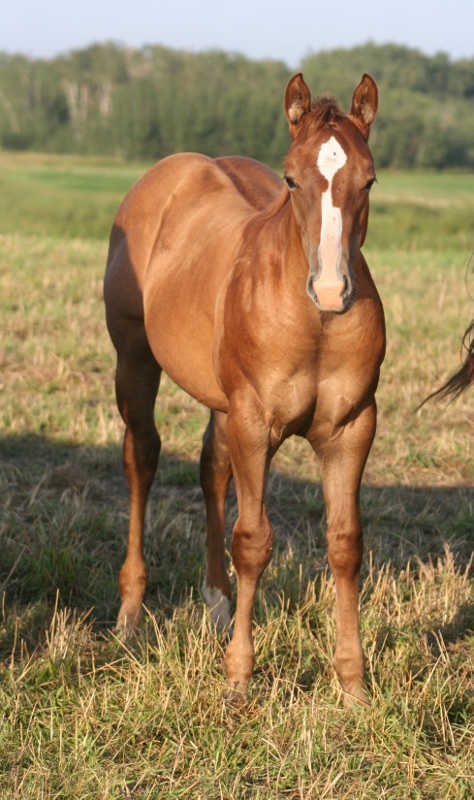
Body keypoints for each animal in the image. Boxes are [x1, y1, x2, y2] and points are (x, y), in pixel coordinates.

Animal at [104, 72, 385, 708]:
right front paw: (238, 678)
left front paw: (353, 685)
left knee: (212, 469)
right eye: (291, 178)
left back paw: (215, 603)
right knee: (142, 457)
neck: (314, 324)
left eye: (369, 179)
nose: (331, 289)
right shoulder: (257, 424)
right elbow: (253, 540)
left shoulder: (352, 428)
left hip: (221, 402)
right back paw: (130, 614)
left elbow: (346, 544)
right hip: (135, 361)